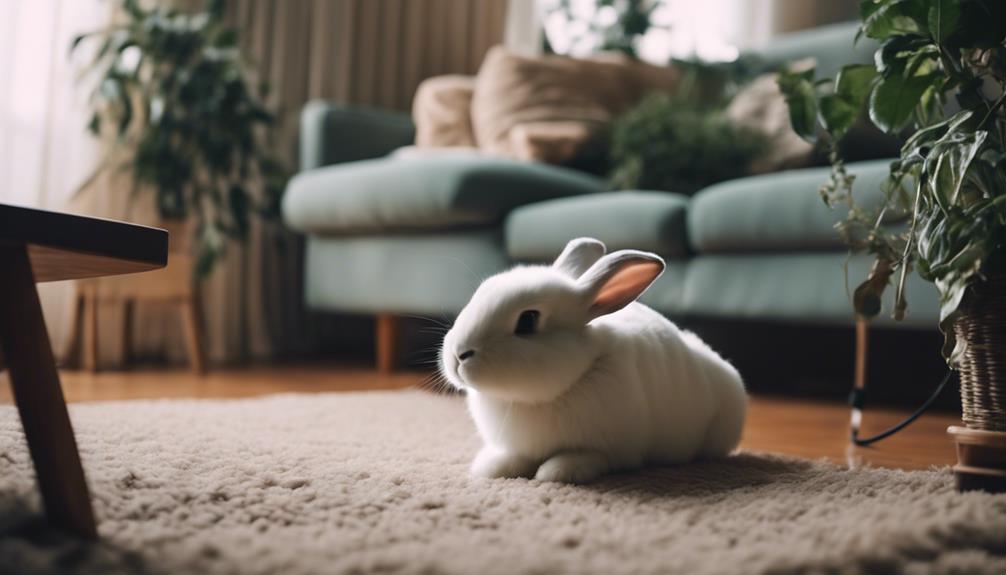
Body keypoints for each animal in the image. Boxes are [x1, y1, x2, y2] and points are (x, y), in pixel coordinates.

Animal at [439, 237, 747, 484]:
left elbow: (587, 458)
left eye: (527, 321)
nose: (458, 354)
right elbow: (511, 459)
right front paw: (491, 467)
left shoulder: (612, 448)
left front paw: (557, 472)